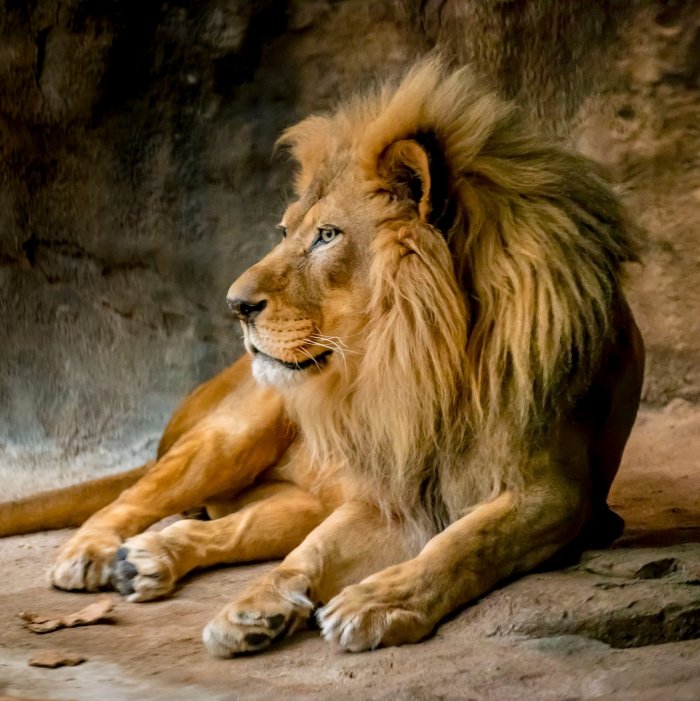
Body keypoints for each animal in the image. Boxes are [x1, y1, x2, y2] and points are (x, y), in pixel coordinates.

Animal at [0, 59, 644, 656]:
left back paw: (149, 559)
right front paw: (256, 608)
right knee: (134, 495)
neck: (425, 366)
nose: (235, 305)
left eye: (328, 236)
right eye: (285, 231)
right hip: (233, 434)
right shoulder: (390, 497)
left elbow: (463, 543)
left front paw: (376, 602)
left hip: (296, 499)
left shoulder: (557, 493)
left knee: (237, 523)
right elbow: (310, 556)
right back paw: (91, 553)